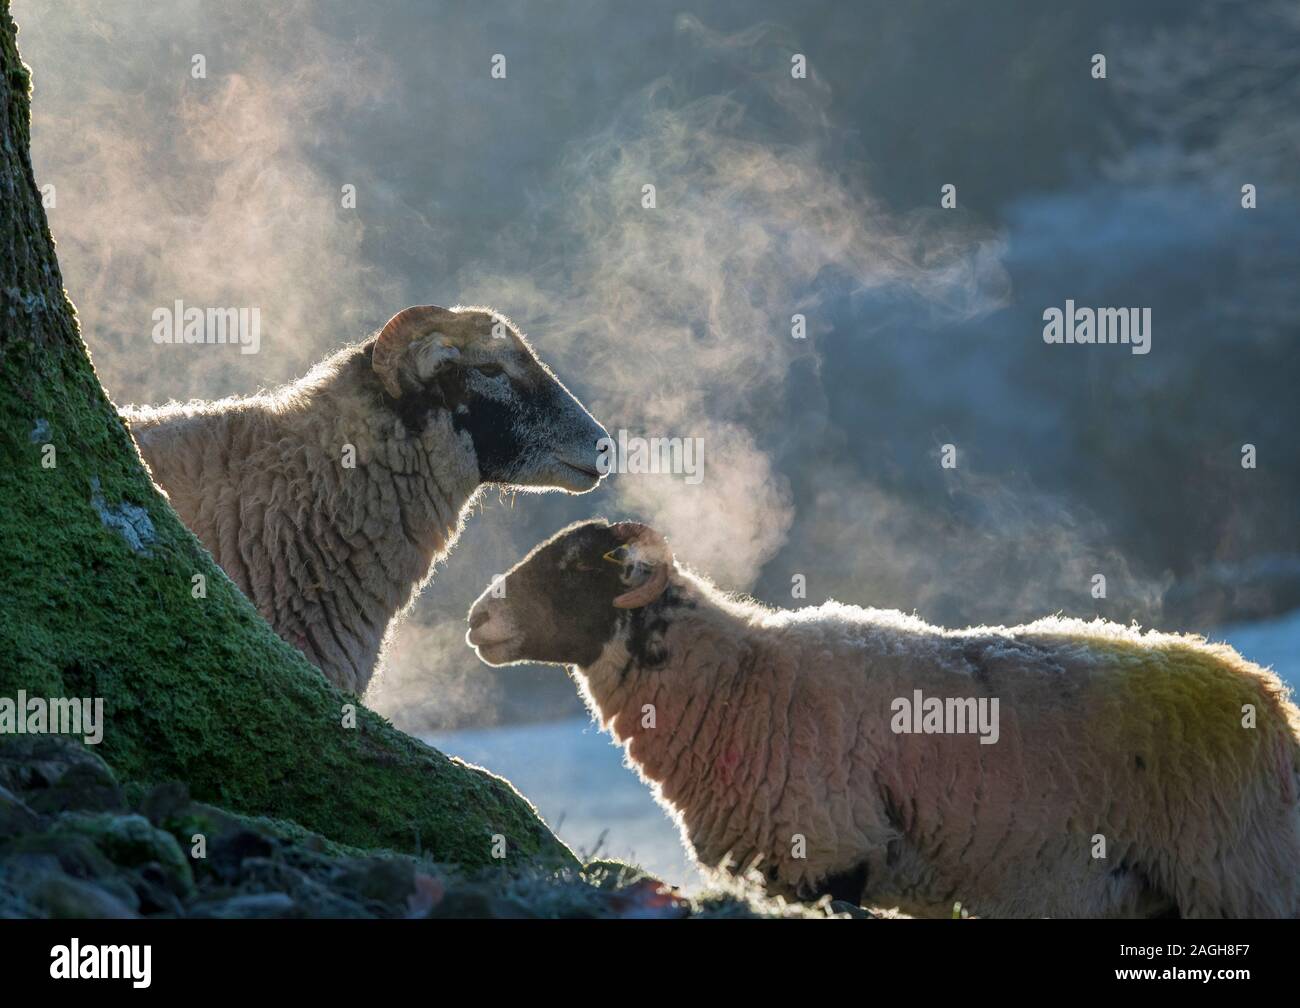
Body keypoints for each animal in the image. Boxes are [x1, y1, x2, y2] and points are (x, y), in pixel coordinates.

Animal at [466, 519, 1300, 918]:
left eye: (577, 565)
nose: (477, 619)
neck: (741, 679)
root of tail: (1268, 694)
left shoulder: (830, 855)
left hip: (1241, 877)